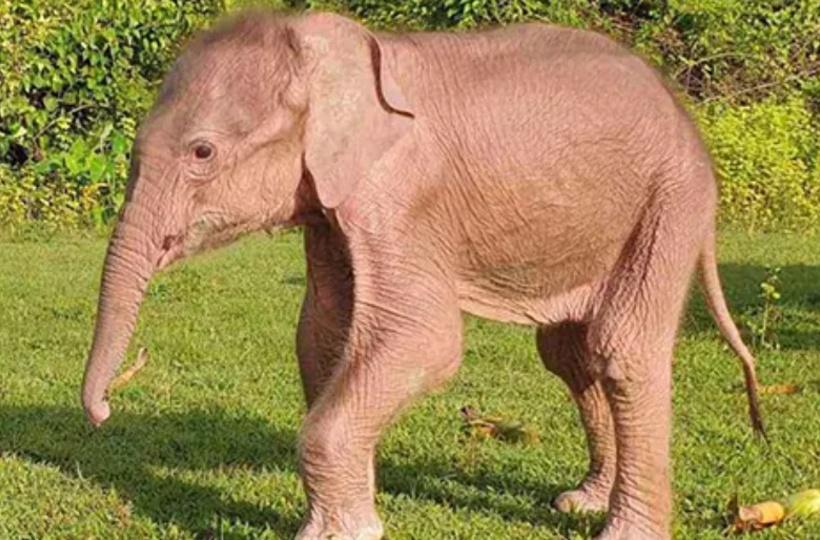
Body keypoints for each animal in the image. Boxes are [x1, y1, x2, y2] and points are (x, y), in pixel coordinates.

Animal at [81, 10, 765, 540]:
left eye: (203, 153)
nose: (105, 411)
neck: (328, 47)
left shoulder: (403, 197)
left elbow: (422, 340)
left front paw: (339, 534)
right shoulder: (333, 208)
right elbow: (323, 335)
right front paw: (347, 512)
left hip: (671, 200)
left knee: (621, 349)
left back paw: (622, 528)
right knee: (569, 352)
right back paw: (580, 501)